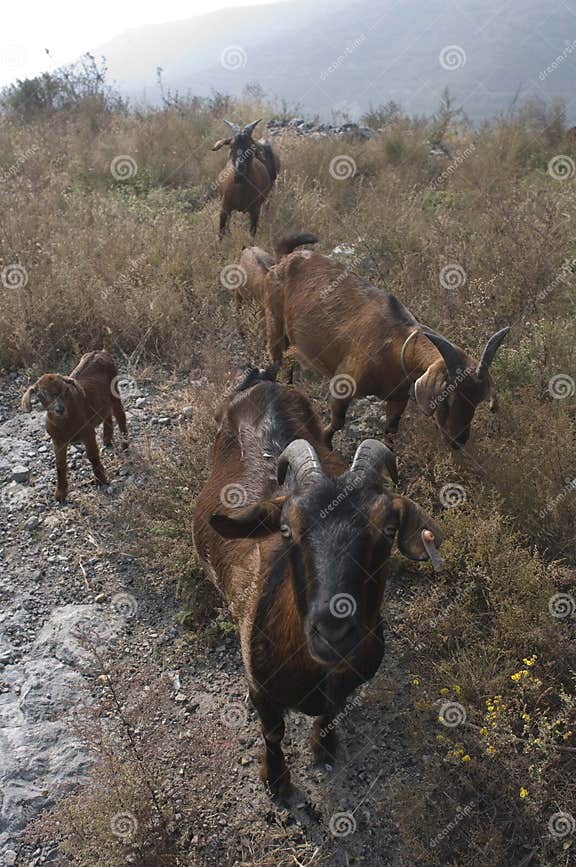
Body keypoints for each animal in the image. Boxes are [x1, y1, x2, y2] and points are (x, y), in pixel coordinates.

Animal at [21, 340, 128, 502]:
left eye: (65, 390)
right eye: (40, 396)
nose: (59, 409)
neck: (66, 424)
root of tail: (100, 351)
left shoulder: (87, 432)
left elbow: (93, 456)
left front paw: (102, 479)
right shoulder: (57, 440)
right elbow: (60, 465)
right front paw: (60, 494)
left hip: (114, 391)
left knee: (120, 415)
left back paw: (124, 444)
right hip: (101, 401)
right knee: (107, 414)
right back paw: (107, 440)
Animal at [193, 369, 442, 797]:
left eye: (388, 529)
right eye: (287, 529)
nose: (334, 632)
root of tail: (264, 381)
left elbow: (331, 714)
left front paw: (324, 748)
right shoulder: (262, 689)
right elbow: (273, 732)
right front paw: (276, 781)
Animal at [260, 238, 510, 449]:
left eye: (478, 400)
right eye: (446, 397)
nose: (458, 440)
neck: (396, 344)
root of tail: (285, 259)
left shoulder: (398, 398)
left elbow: (390, 434)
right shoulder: (343, 383)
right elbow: (336, 423)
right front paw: (325, 447)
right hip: (274, 322)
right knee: (275, 360)